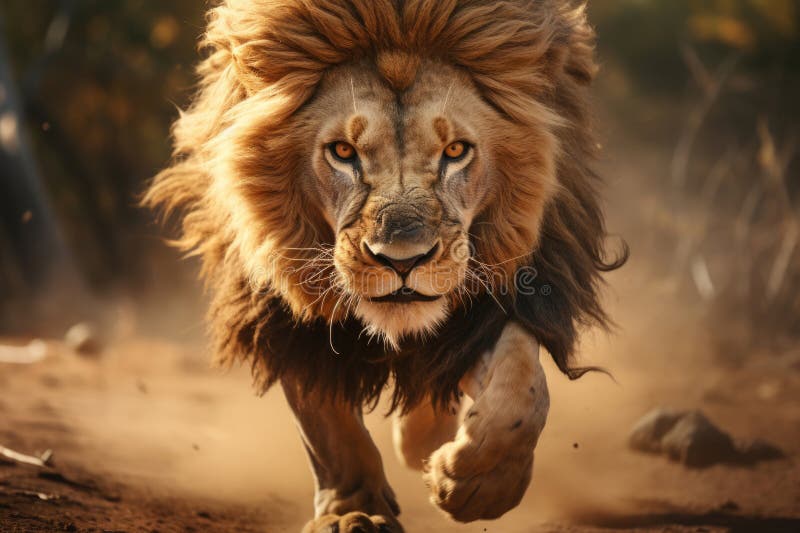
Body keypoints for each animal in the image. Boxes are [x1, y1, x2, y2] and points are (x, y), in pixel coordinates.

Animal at [145, 0, 626, 530]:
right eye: (343, 152)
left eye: (456, 151)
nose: (403, 259)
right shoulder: (285, 308)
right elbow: (327, 422)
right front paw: (351, 513)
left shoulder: (504, 297)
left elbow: (522, 386)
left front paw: (478, 484)